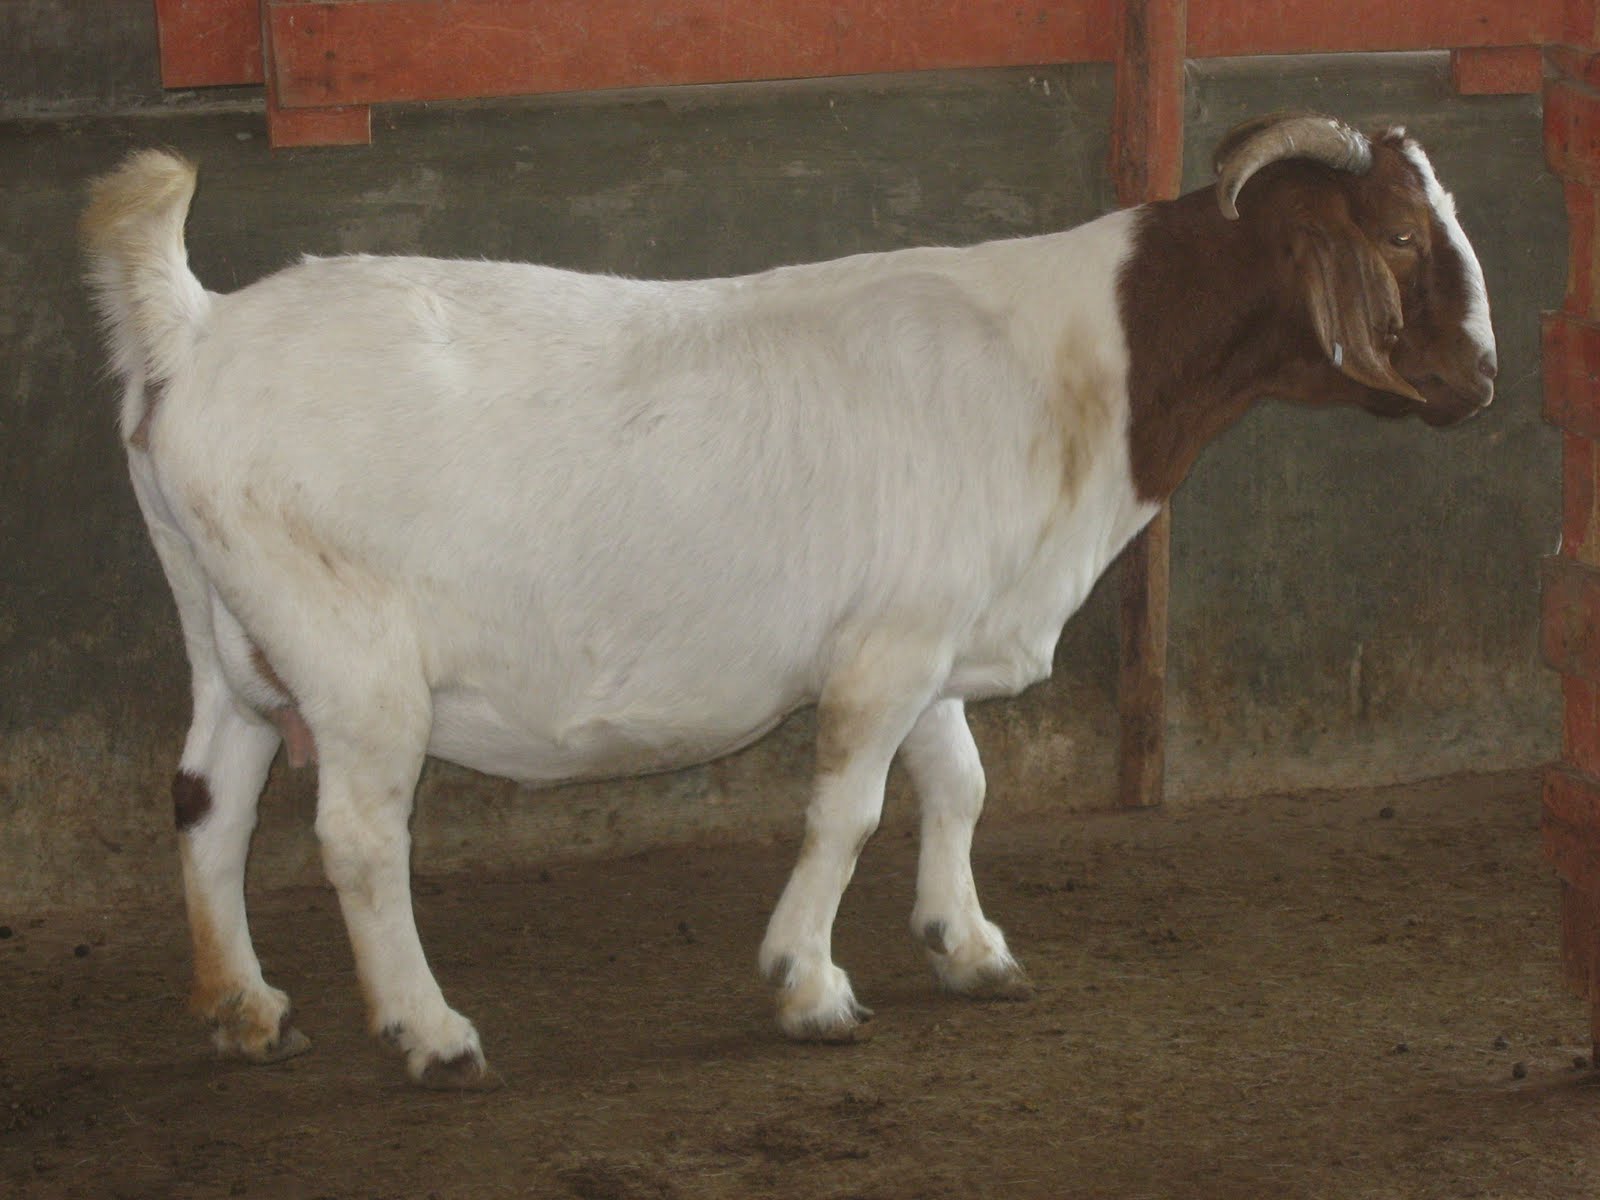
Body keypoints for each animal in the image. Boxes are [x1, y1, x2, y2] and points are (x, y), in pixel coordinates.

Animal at [82, 113, 1496, 1088]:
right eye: (1399, 237)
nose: (1479, 380)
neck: (1077, 366)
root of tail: (192, 327)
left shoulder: (925, 624)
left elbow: (960, 784)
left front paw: (968, 948)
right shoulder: (887, 649)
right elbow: (847, 809)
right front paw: (807, 984)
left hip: (230, 637)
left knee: (206, 800)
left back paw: (245, 1012)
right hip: (353, 653)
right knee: (363, 839)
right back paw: (431, 1035)